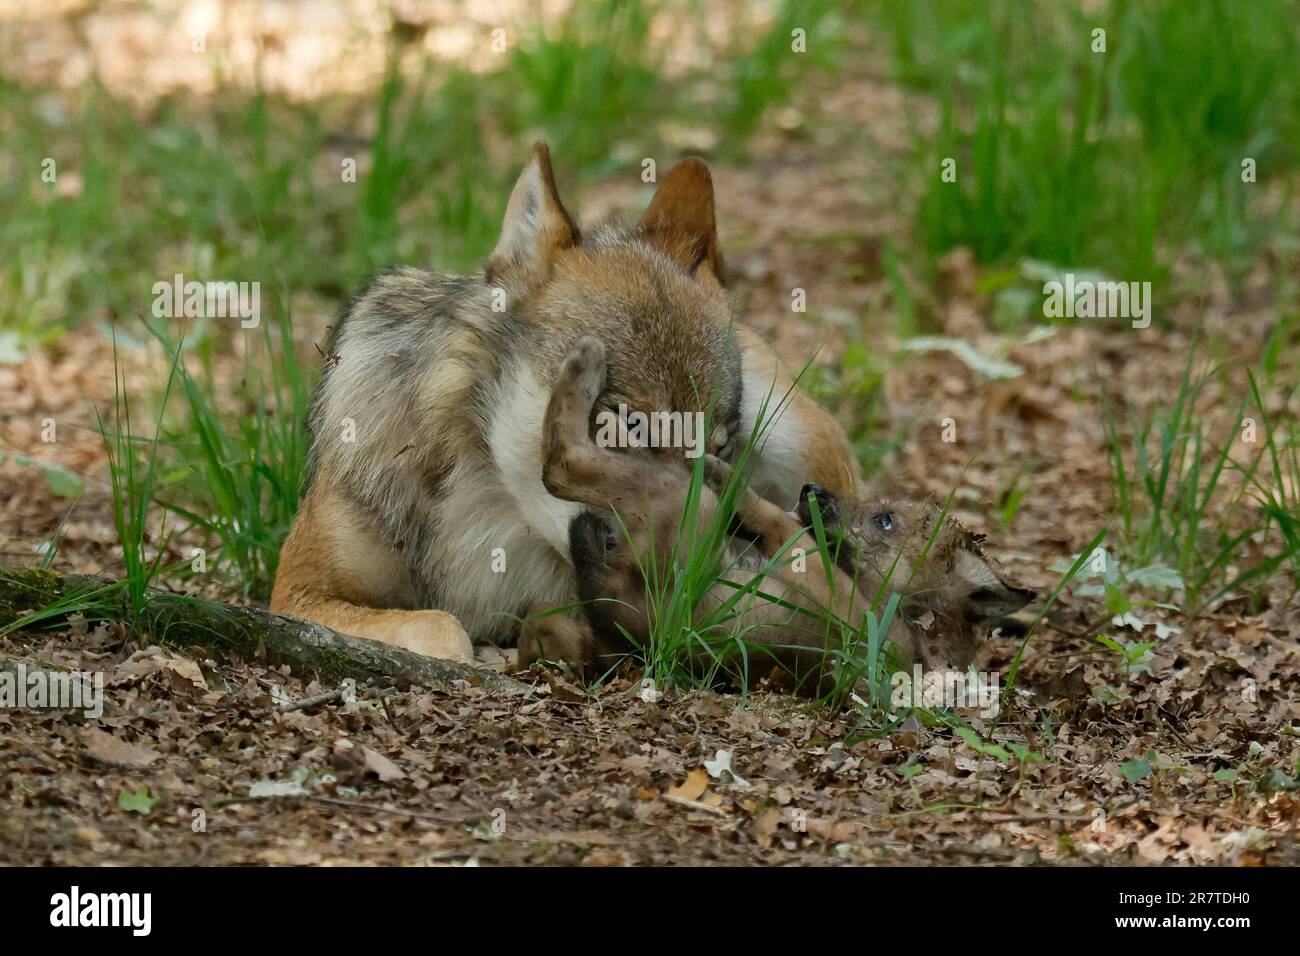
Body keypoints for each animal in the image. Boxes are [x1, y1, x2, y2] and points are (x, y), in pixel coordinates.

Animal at [270, 144, 860, 662]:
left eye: (717, 450)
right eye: (627, 428)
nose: (709, 570)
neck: (486, 505)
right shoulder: (296, 593)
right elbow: (443, 626)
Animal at [525, 336, 1035, 692]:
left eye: (885, 521)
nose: (811, 490)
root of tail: (631, 613)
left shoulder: (811, 566)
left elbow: (771, 515)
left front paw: (718, 468)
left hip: (678, 502)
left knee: (563, 466)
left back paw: (590, 369)